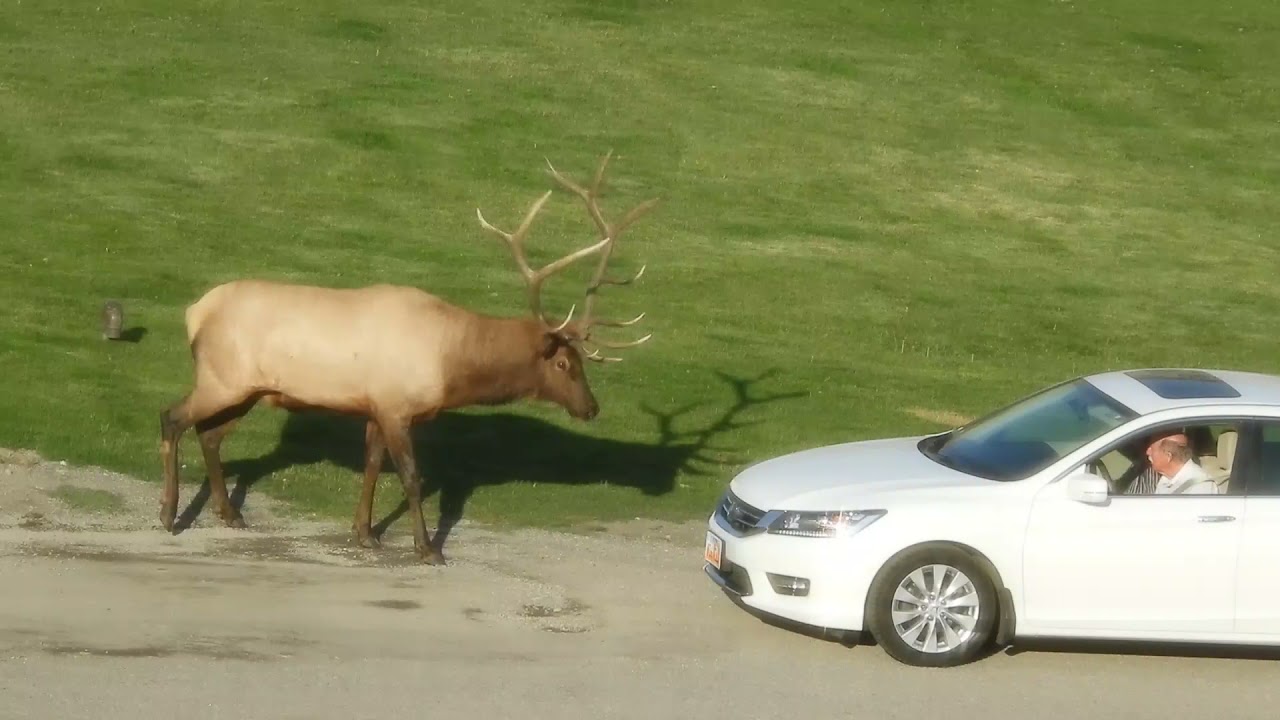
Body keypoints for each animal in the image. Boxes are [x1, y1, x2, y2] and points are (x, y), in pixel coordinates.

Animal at [158, 151, 659, 565]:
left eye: (580, 362)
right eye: (563, 364)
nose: (591, 408)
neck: (450, 365)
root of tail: (193, 313)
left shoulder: (377, 406)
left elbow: (373, 467)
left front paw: (365, 533)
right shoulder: (398, 407)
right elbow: (413, 478)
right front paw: (427, 549)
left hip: (249, 388)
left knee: (209, 435)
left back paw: (229, 513)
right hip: (223, 377)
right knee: (173, 418)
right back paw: (169, 514)